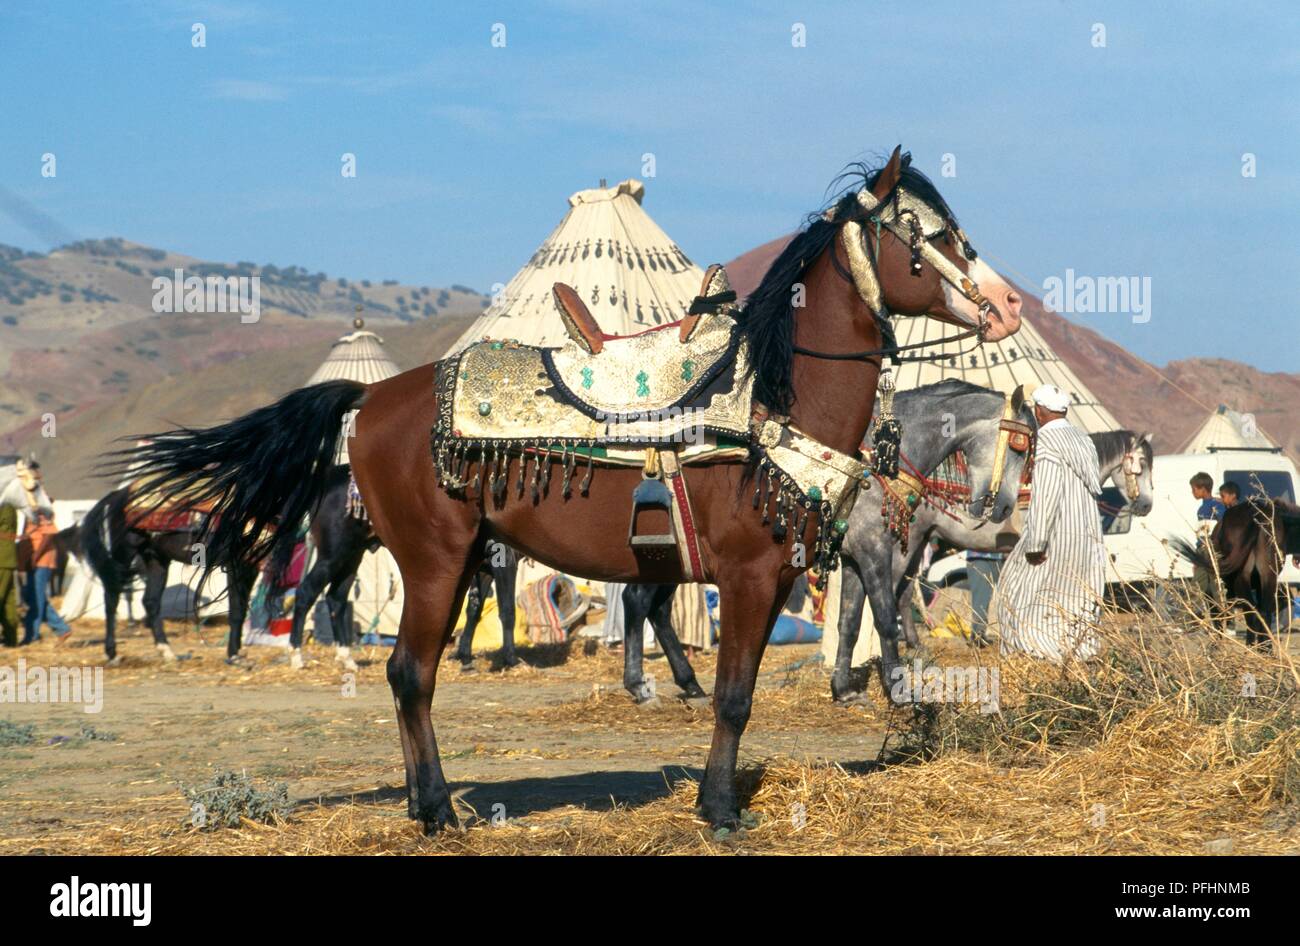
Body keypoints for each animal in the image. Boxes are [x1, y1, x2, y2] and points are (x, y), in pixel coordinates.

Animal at [112, 148, 1023, 832]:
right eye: (931, 234)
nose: (1010, 304)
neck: (775, 398)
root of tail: (366, 401)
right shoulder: (748, 576)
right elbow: (733, 698)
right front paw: (721, 810)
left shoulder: (771, 581)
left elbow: (754, 683)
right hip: (433, 562)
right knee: (407, 673)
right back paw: (435, 811)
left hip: (457, 563)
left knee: (410, 671)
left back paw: (425, 803)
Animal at [1173, 498, 1300, 648]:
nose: (1297, 561)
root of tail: (1256, 512)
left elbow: (1219, 618)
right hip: (1267, 576)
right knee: (1264, 612)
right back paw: (1265, 648)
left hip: (1241, 579)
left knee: (1250, 613)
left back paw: (1251, 647)